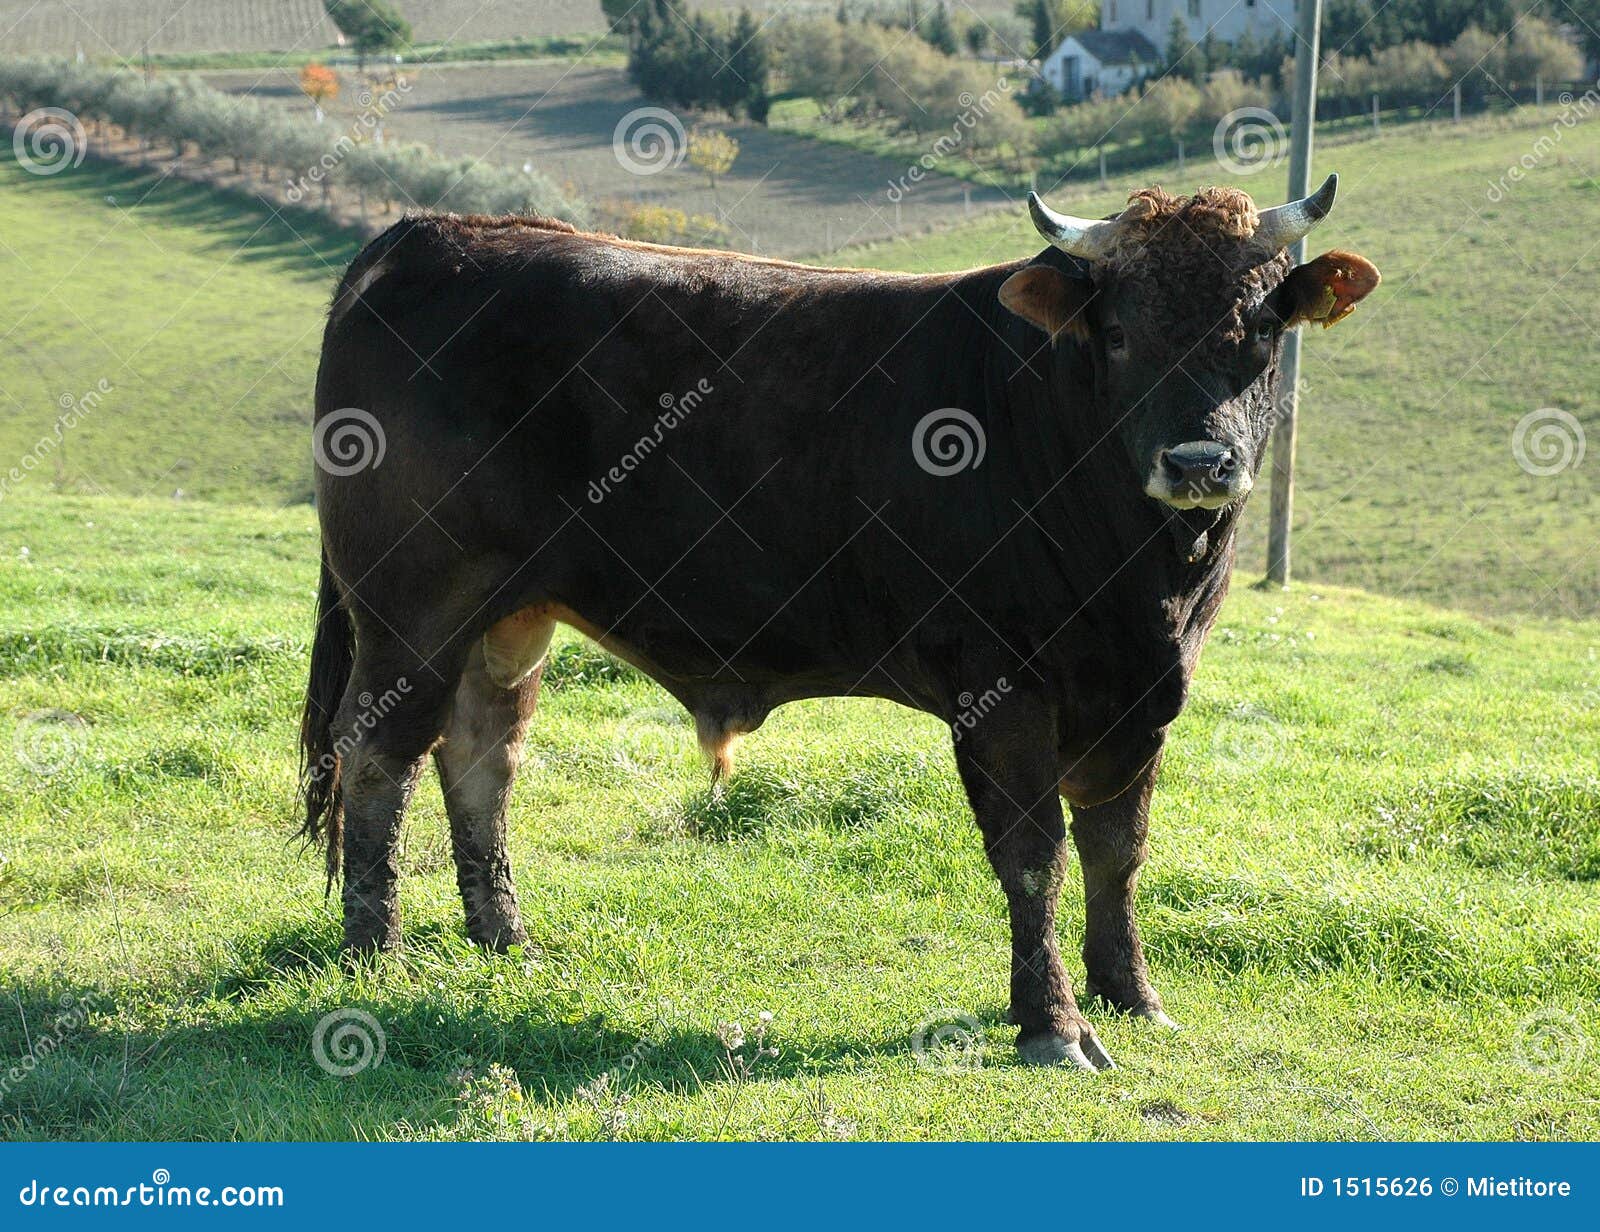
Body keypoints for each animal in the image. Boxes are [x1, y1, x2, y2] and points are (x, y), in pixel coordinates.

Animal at [298, 175, 1378, 1068]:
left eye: (1259, 331)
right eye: (1118, 335)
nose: (1198, 463)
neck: (1147, 581)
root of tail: (432, 231)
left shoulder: (1140, 699)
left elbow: (1119, 850)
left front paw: (1131, 995)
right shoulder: (1003, 691)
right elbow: (1036, 857)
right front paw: (1054, 1025)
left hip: (509, 618)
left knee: (481, 754)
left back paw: (505, 940)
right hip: (412, 607)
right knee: (380, 756)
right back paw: (375, 955)